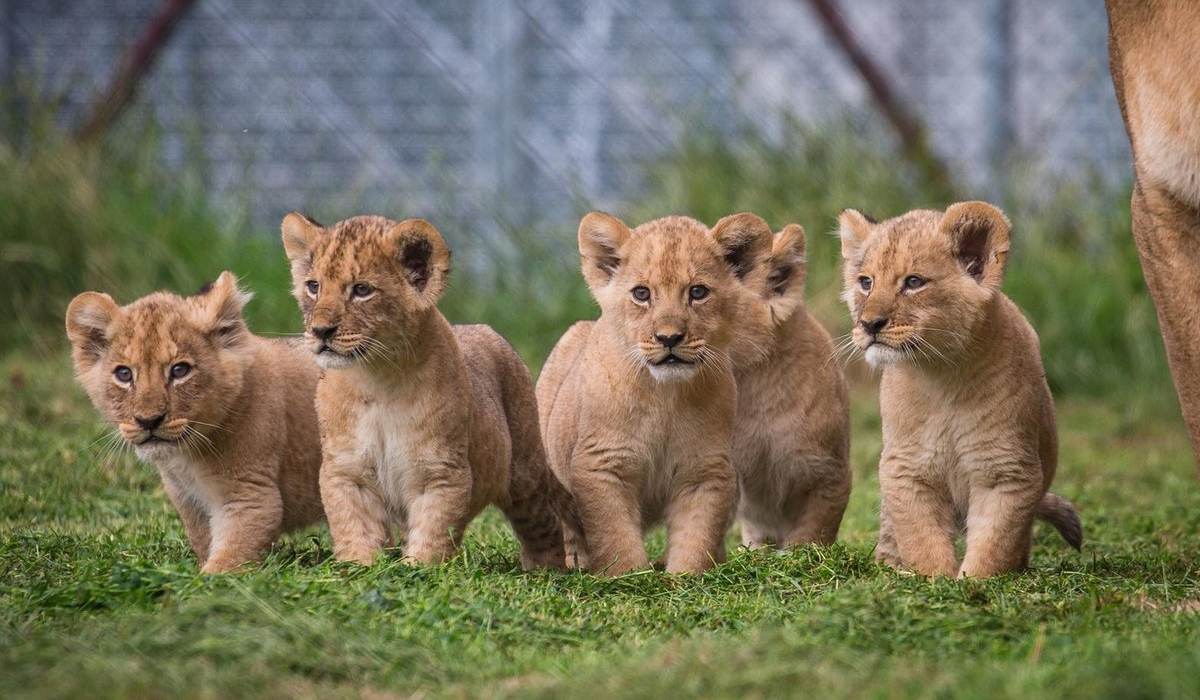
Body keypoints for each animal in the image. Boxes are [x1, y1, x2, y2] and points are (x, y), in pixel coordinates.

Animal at [65, 272, 325, 573]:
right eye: (124, 374)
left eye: (180, 370)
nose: (148, 421)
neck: (186, 456)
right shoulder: (187, 498)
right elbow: (202, 538)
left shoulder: (250, 496)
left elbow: (224, 565)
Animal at [280, 212, 575, 569]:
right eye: (314, 287)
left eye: (361, 290)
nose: (320, 331)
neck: (375, 378)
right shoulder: (346, 470)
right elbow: (354, 524)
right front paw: (358, 567)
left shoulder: (441, 473)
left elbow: (433, 530)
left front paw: (418, 569)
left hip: (524, 471)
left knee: (543, 523)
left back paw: (548, 571)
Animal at [536, 211, 774, 575]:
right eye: (641, 293)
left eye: (698, 292)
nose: (669, 338)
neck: (665, 396)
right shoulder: (602, 464)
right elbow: (614, 533)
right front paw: (629, 576)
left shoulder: (705, 470)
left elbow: (696, 535)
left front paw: (685, 578)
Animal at [839, 202, 1082, 577]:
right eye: (866, 282)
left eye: (913, 282)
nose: (869, 324)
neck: (943, 376)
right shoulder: (906, 468)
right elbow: (921, 536)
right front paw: (934, 578)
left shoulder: (1007, 471)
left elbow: (995, 539)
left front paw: (973, 581)